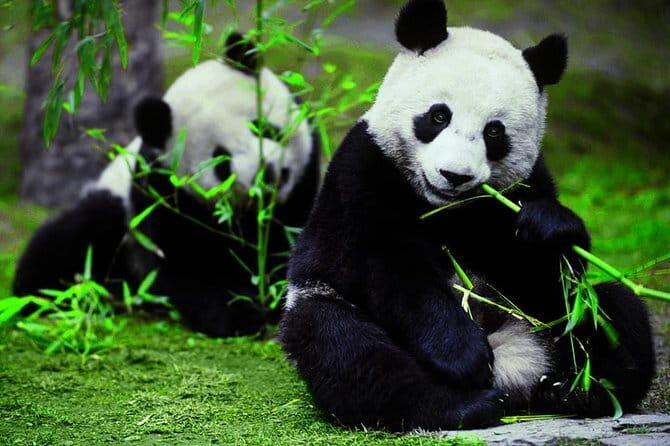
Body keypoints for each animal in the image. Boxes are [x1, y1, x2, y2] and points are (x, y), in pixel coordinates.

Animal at [13, 33, 321, 338]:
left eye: (262, 128)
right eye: (221, 161)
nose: (266, 174)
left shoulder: (304, 184)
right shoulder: (161, 199)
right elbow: (182, 270)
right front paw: (242, 316)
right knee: (69, 241)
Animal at [279, 0, 655, 431]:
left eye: (494, 132)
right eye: (439, 116)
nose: (455, 175)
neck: (442, 207)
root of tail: (514, 372)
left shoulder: (521, 189)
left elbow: (543, 273)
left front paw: (547, 228)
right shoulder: (364, 171)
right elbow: (388, 267)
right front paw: (463, 354)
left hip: (552, 323)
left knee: (612, 313)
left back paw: (579, 389)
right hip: (321, 301)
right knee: (347, 349)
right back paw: (462, 404)